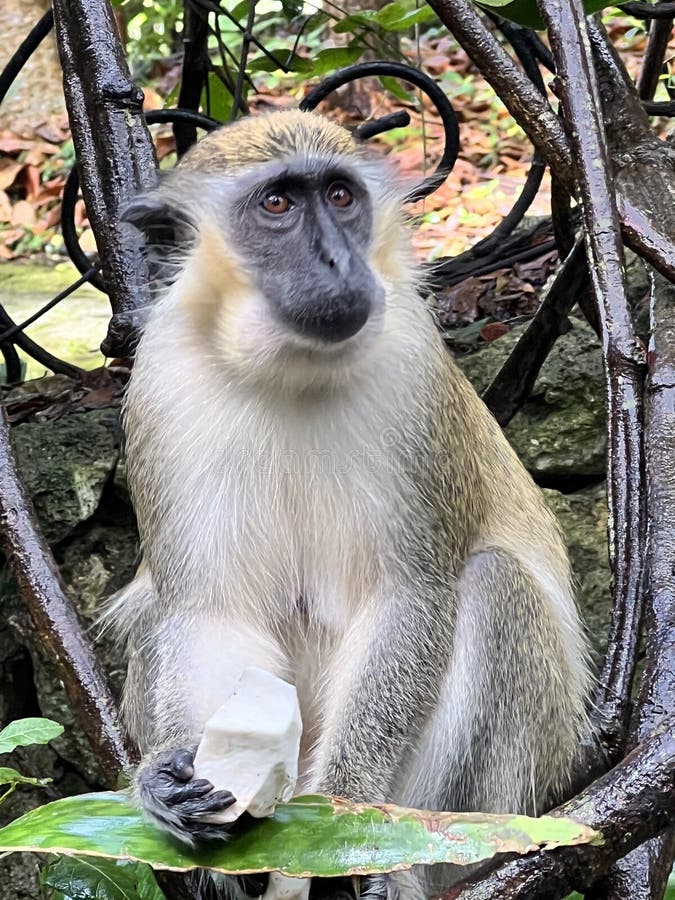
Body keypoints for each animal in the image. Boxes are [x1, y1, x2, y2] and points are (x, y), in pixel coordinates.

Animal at [108, 109, 591, 900]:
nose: (339, 262)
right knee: (159, 614)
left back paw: (400, 867)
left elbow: (409, 598)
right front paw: (167, 779)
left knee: (494, 586)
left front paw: (339, 819)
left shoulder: (412, 371)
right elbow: (208, 614)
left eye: (339, 197)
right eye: (277, 204)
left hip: (509, 799)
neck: (289, 369)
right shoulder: (161, 387)